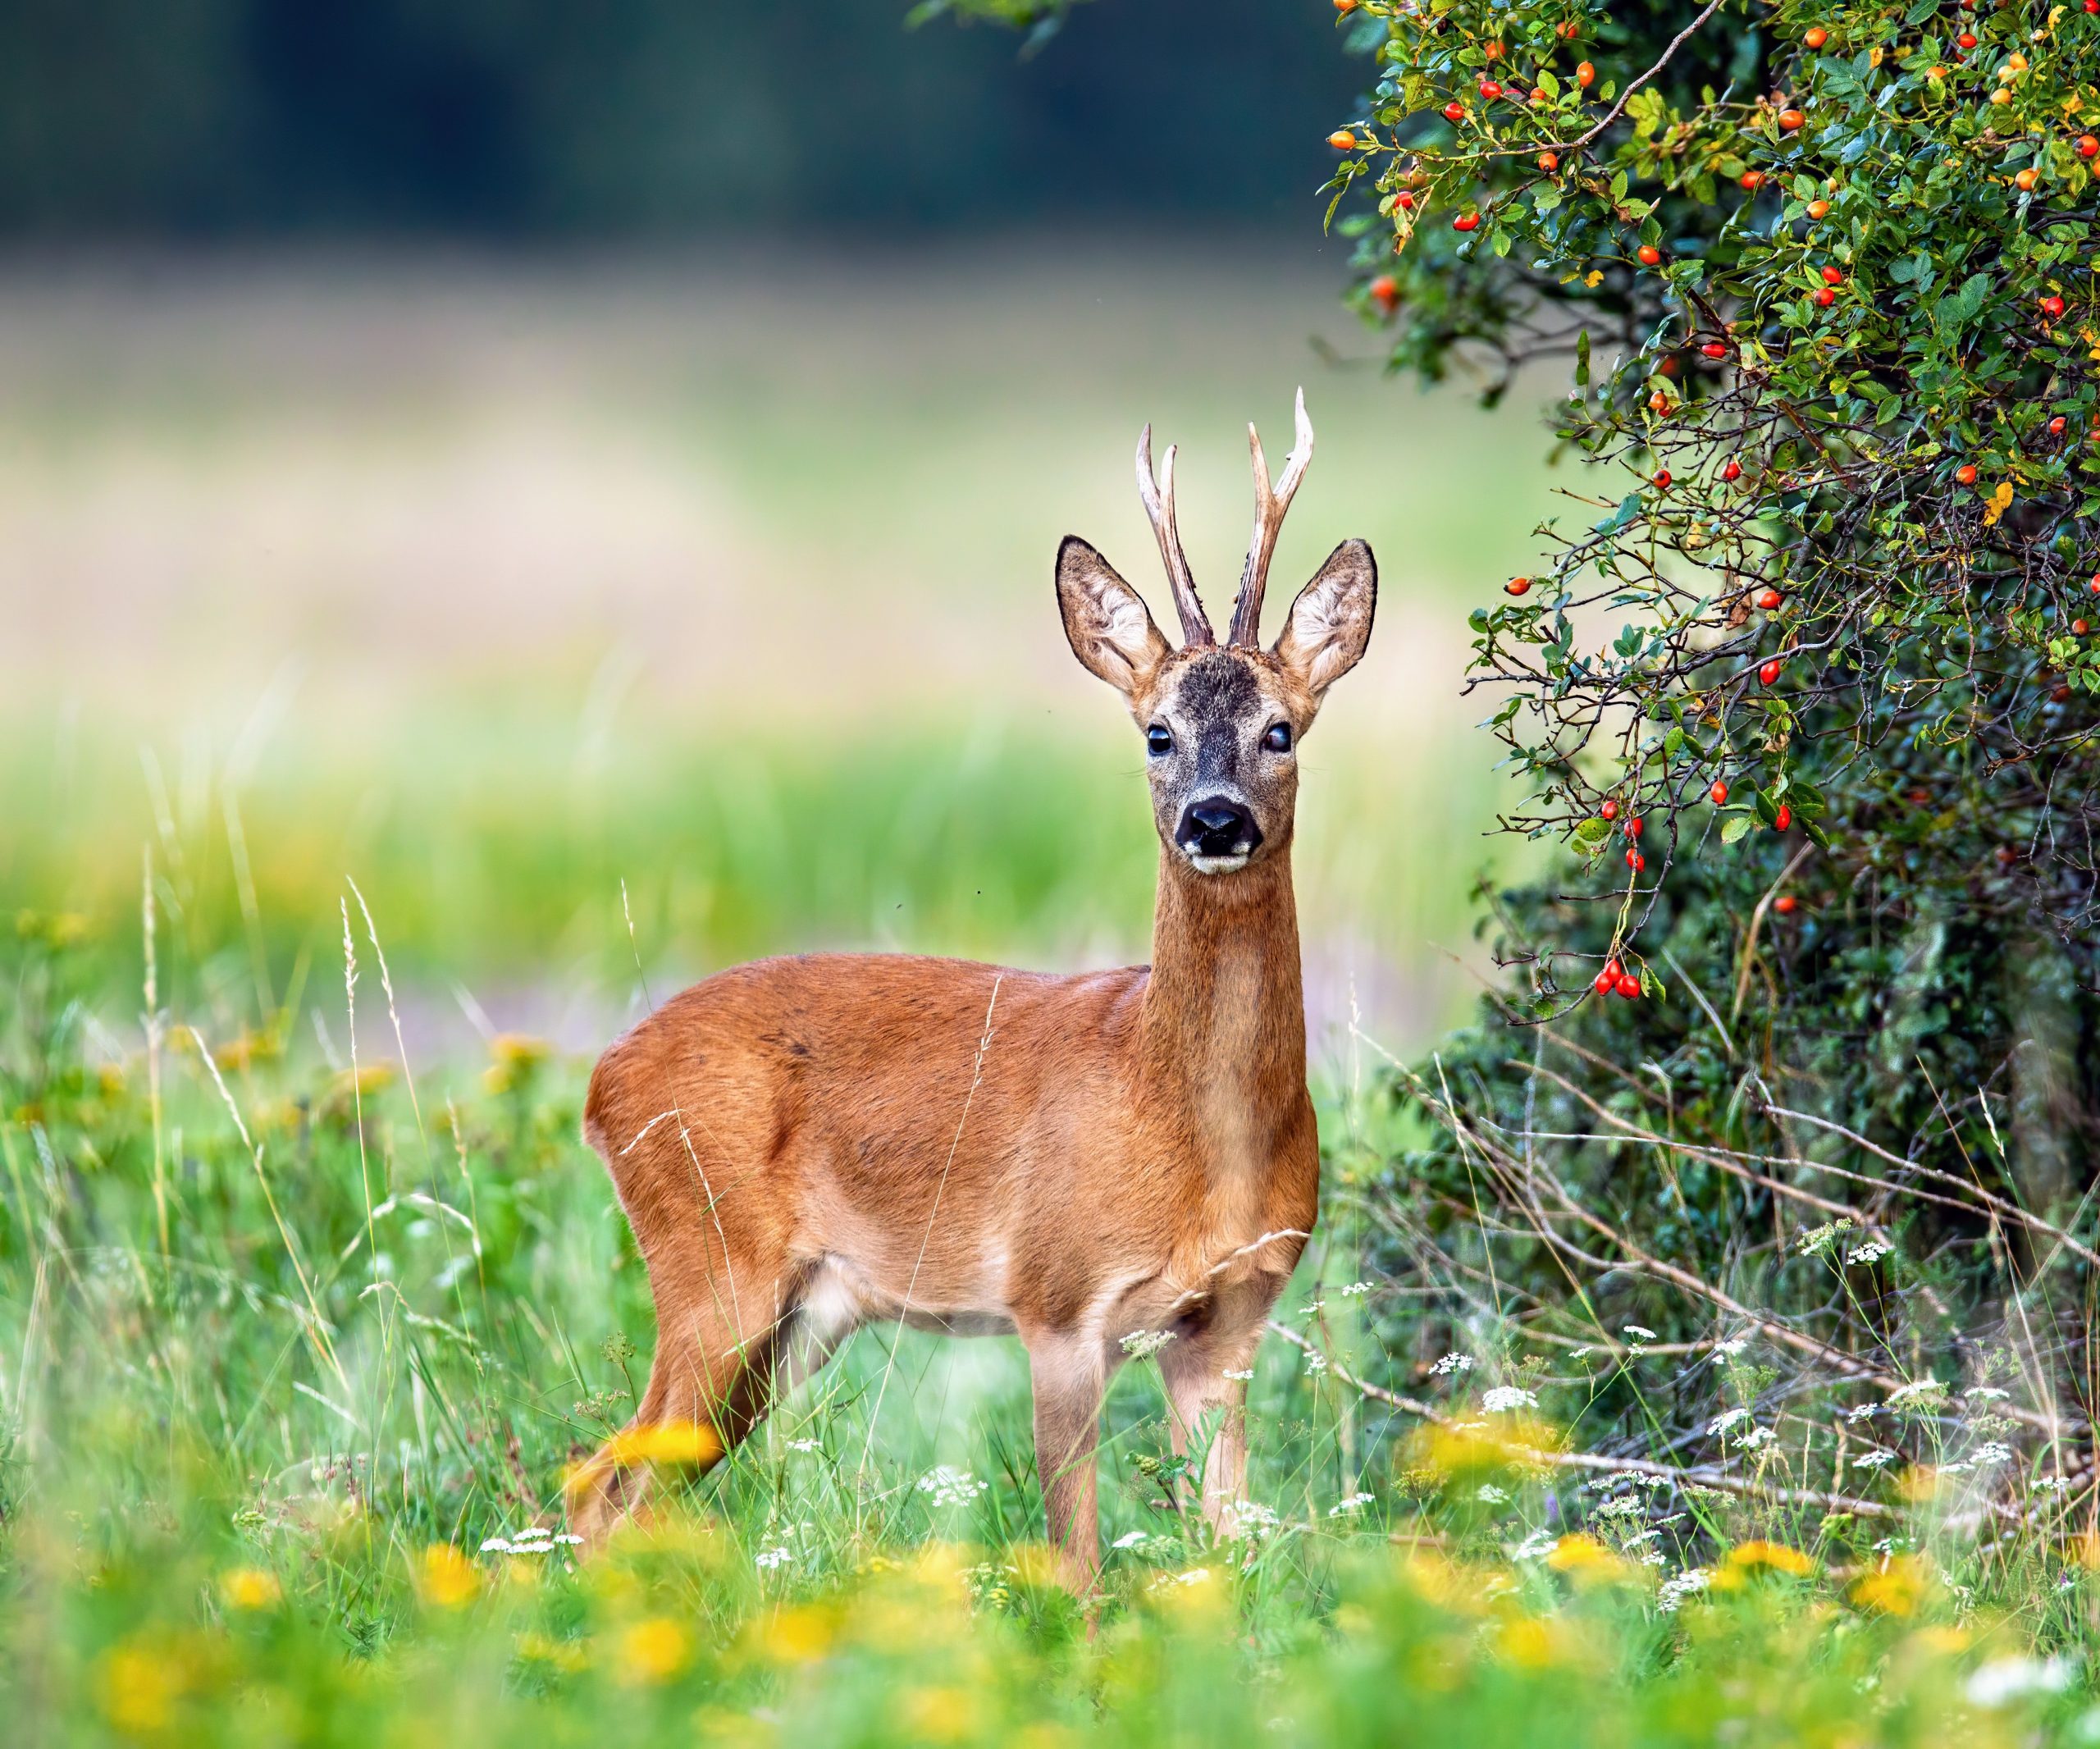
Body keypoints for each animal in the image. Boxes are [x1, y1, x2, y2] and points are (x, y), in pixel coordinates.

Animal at [569, 390, 1376, 1588]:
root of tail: (600, 1080)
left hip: (798, 1319)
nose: (1215, 818)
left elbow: (1226, 1549)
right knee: (601, 1481)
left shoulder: (1228, 1322)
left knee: (631, 1484)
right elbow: (1077, 1564)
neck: (1180, 1116)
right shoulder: (1057, 1302)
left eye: (1280, 729)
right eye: (1157, 733)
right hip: (710, 1263)